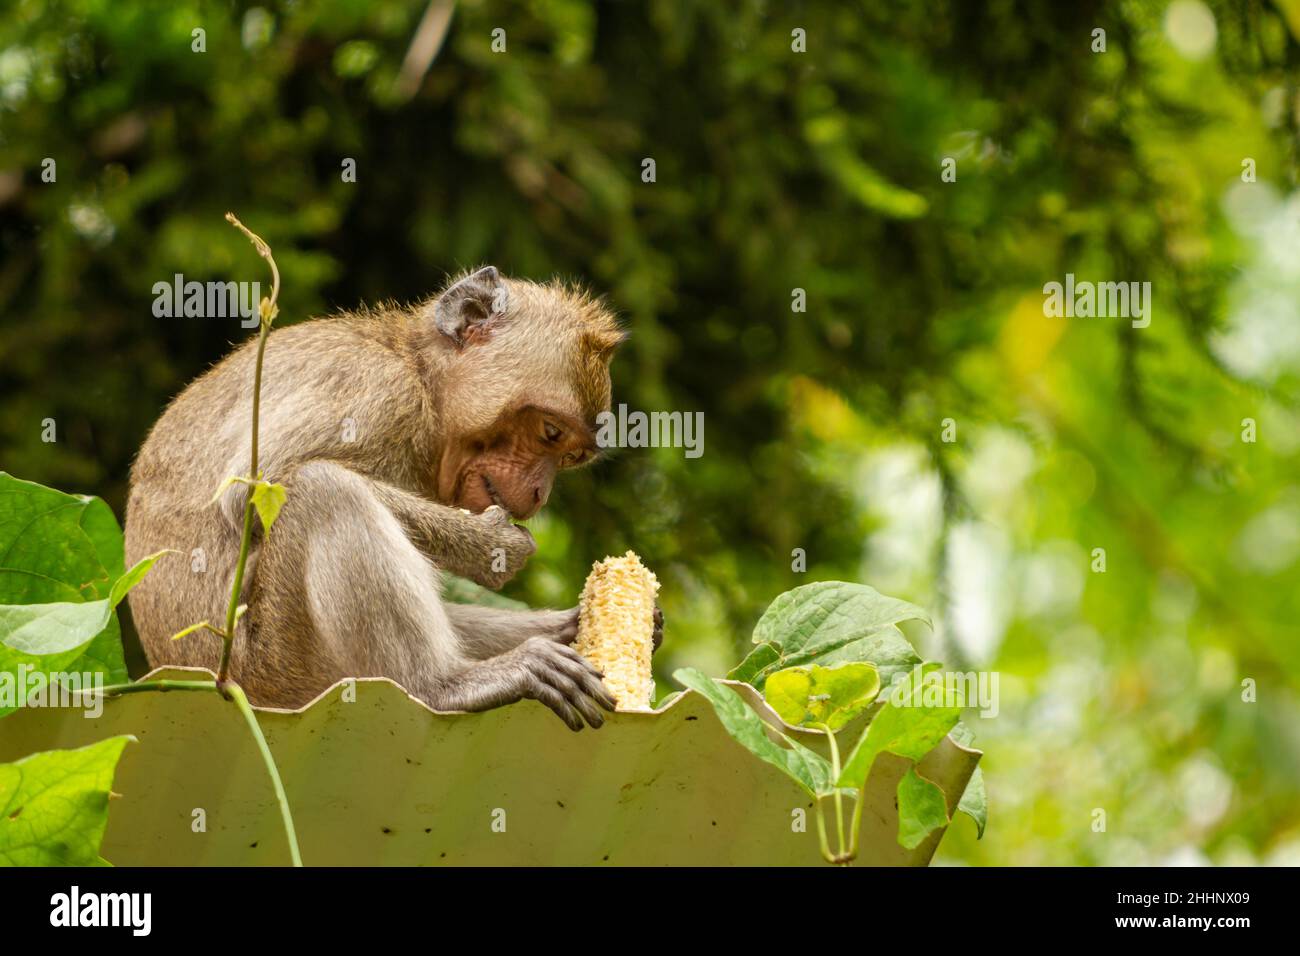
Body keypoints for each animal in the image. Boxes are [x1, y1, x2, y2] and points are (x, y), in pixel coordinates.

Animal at [124, 266, 660, 731]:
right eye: (550, 431)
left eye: (570, 456)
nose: (538, 493)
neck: (419, 374)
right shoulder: (374, 390)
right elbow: (258, 492)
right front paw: (491, 546)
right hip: (275, 668)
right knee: (323, 492)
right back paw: (442, 685)